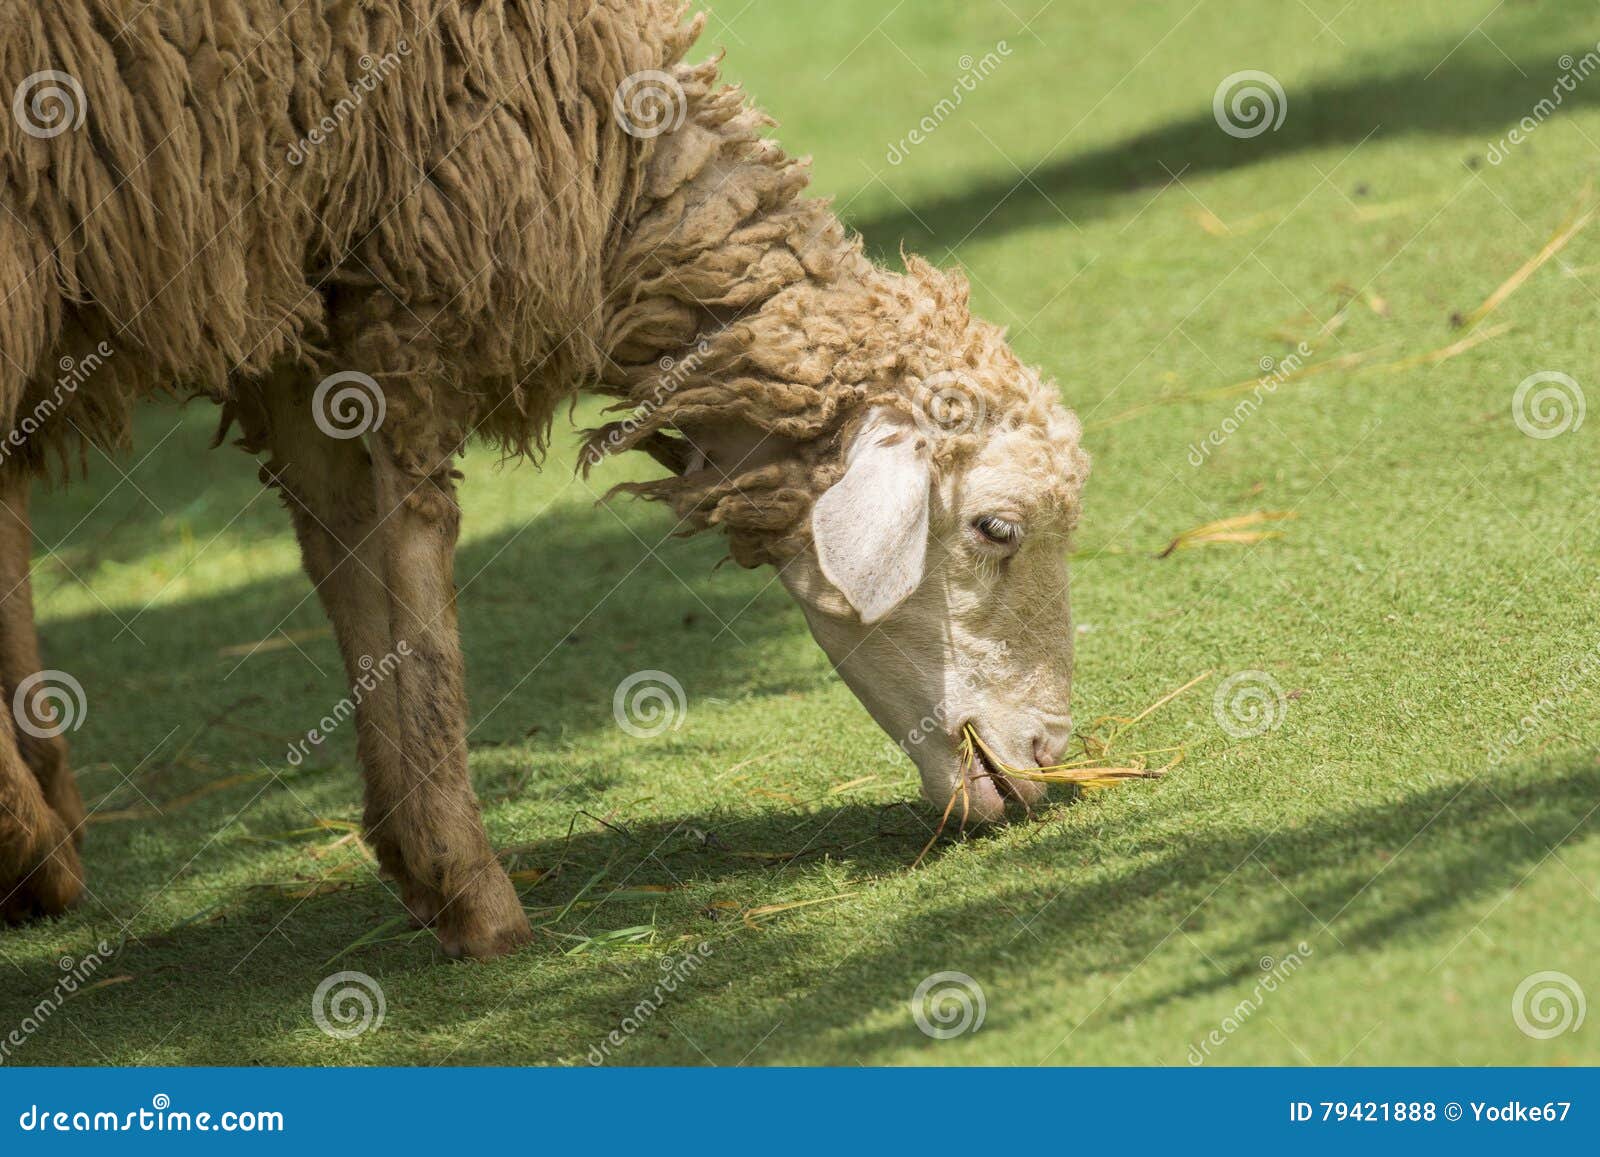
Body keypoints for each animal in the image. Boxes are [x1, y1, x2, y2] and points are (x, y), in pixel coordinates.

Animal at [0, 1, 1088, 957]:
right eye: (996, 527)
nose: (1049, 752)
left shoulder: (297, 289)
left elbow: (339, 541)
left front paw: (413, 855)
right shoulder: (417, 263)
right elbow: (412, 544)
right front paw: (470, 887)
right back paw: (35, 839)